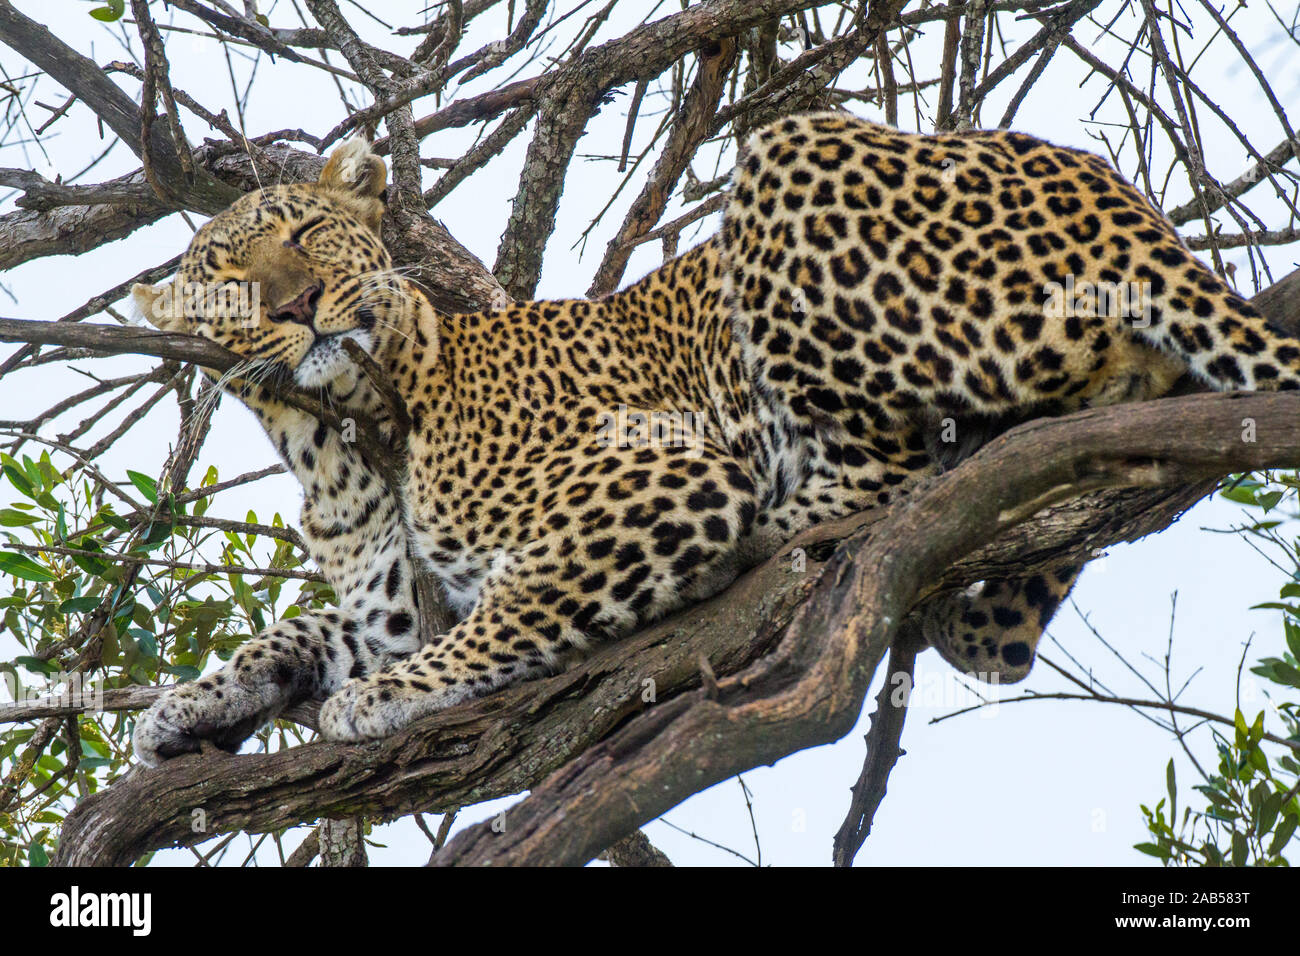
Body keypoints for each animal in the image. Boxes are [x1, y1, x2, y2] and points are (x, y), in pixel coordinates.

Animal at [130, 110, 1300, 766]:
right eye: (228, 280)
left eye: (305, 229)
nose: (299, 303)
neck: (334, 442)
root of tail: (1127, 205)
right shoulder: (389, 602)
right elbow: (293, 632)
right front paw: (183, 707)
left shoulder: (661, 475)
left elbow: (513, 607)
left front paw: (380, 700)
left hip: (787, 161)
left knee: (885, 475)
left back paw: (769, 536)